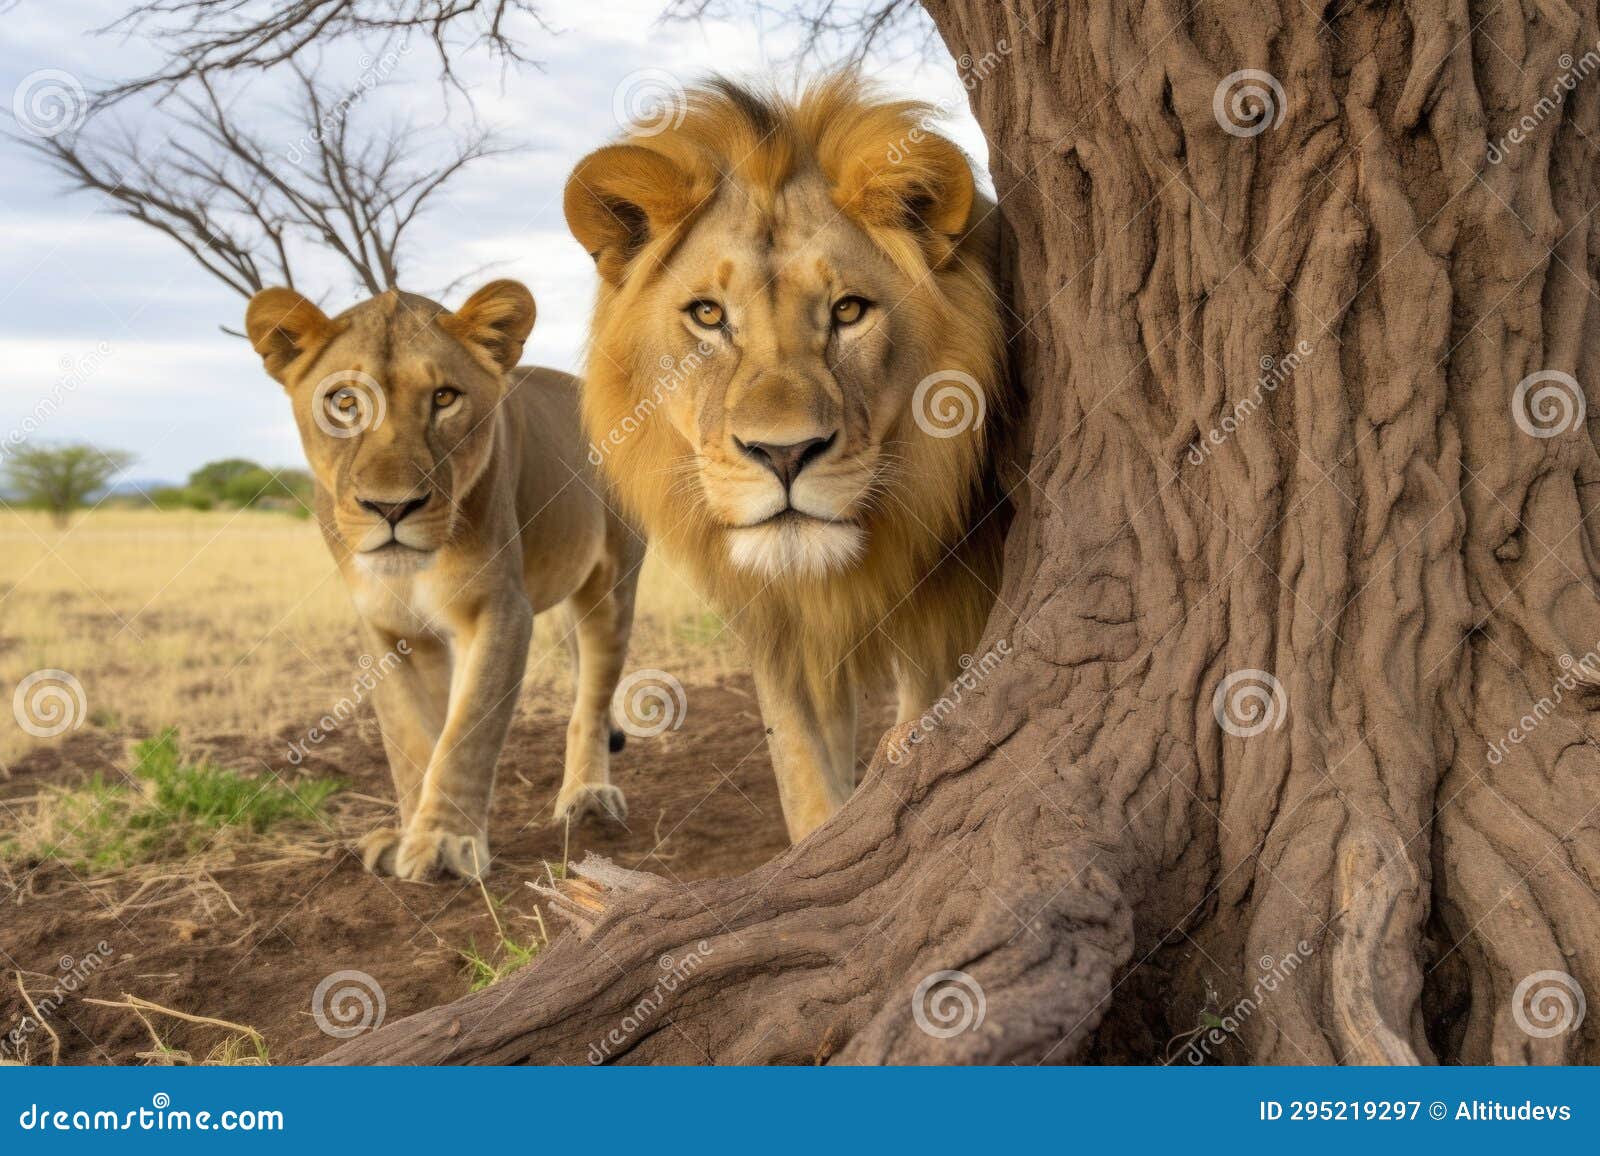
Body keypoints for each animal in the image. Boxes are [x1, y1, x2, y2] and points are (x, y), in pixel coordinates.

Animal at [244, 280, 643, 881]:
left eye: (444, 398)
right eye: (344, 402)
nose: (391, 507)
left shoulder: (500, 608)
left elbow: (468, 728)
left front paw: (444, 842)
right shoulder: (388, 628)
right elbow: (411, 737)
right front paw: (410, 834)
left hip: (612, 586)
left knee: (591, 700)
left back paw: (588, 797)